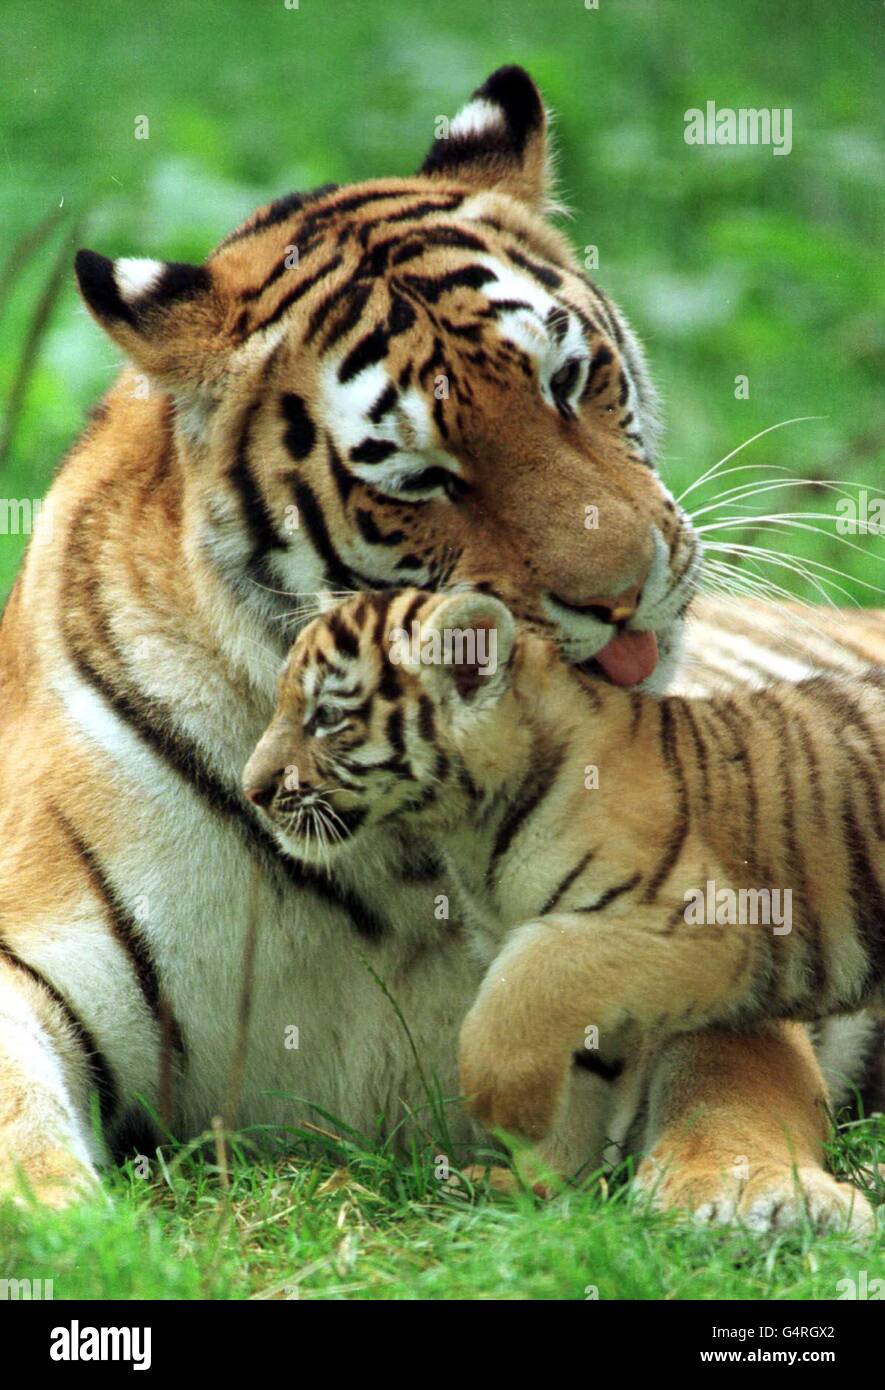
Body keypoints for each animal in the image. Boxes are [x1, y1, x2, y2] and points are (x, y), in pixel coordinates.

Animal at [242, 586, 885, 1184]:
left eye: (327, 717)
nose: (252, 790)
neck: (471, 827)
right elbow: (579, 1067)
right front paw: (544, 1188)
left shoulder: (688, 926)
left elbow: (520, 992)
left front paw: (510, 1113)